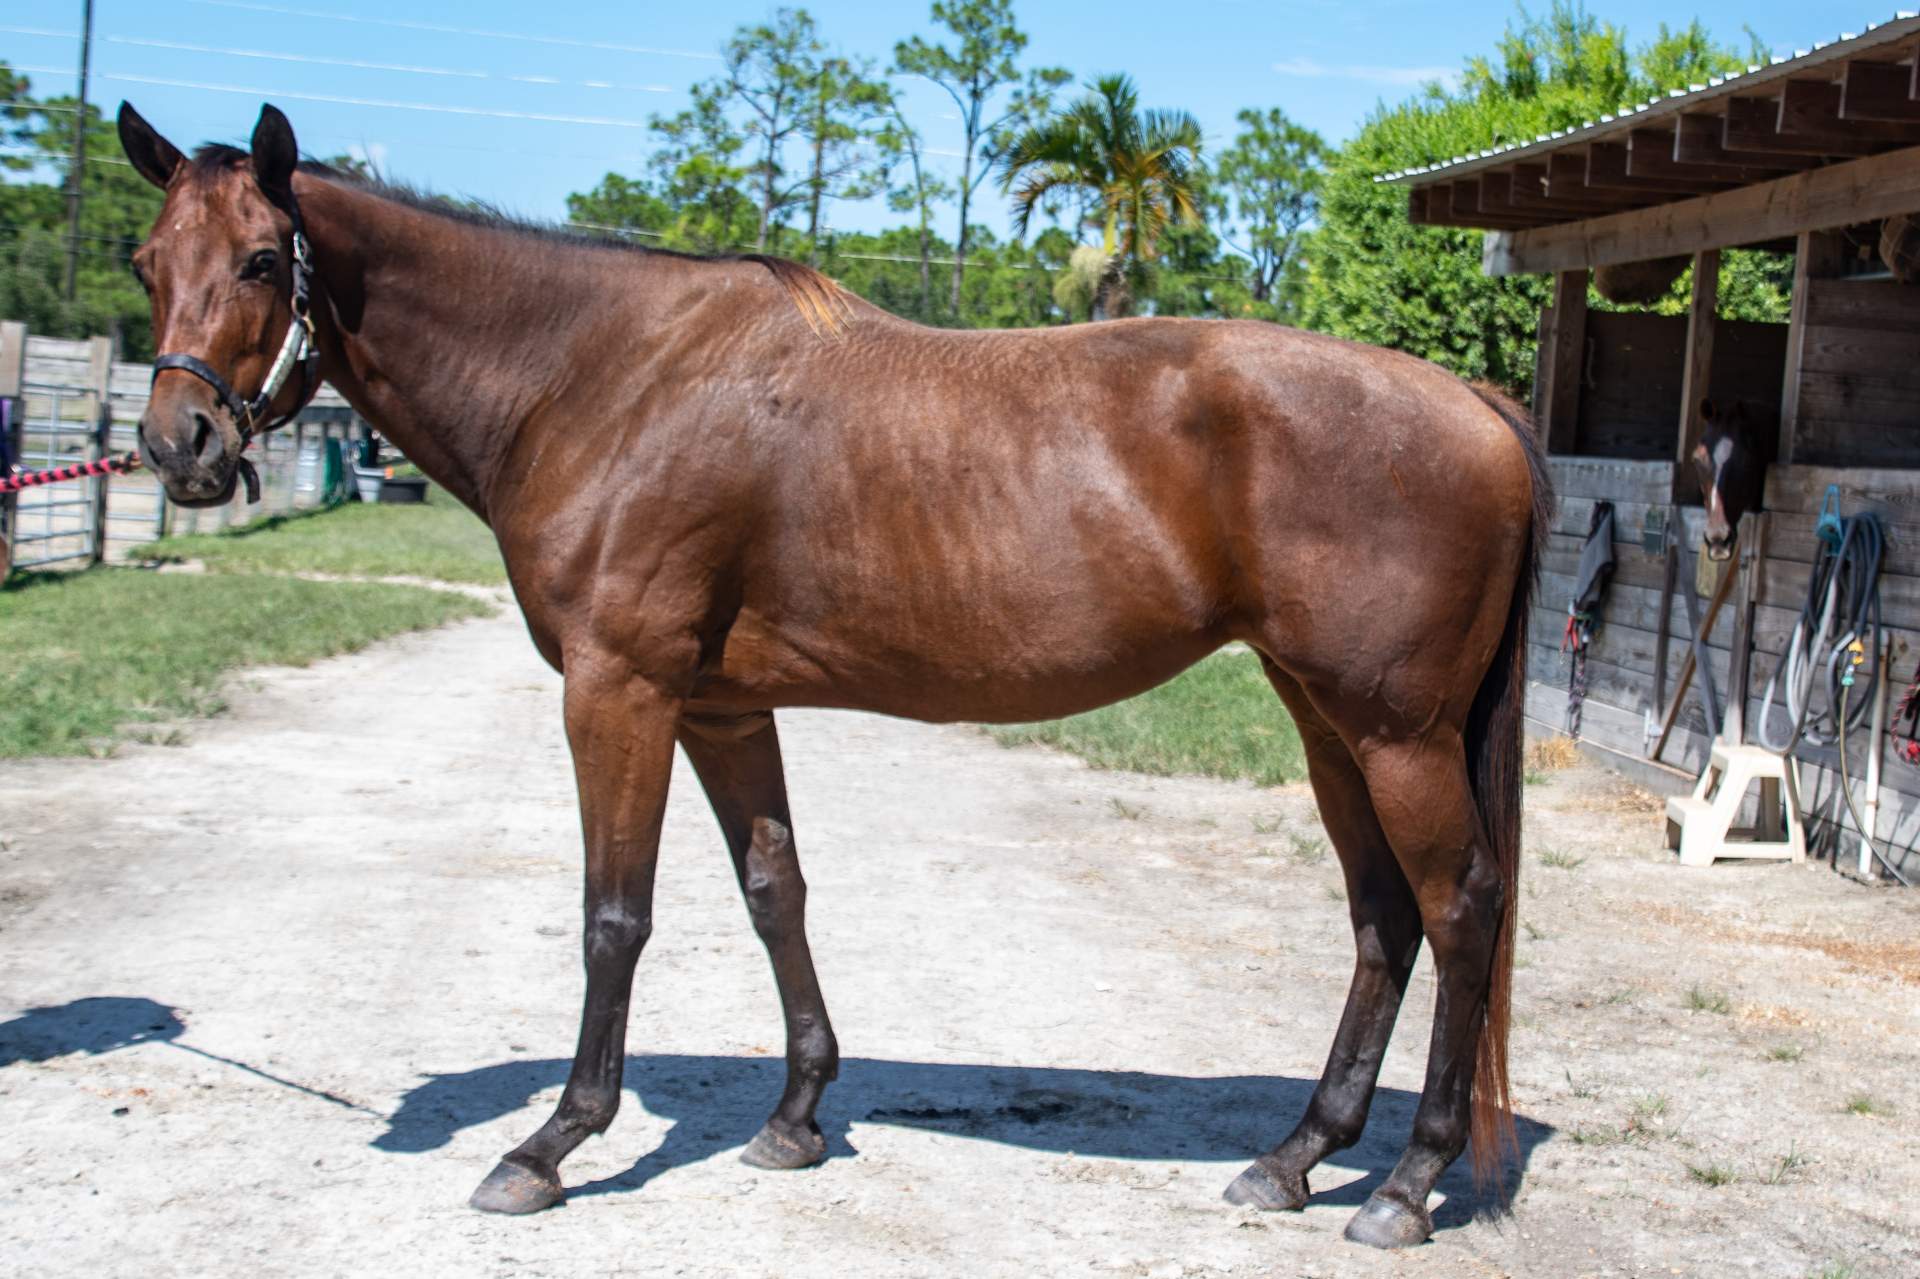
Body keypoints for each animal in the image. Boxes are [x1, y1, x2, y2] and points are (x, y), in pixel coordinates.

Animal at [116, 101, 1548, 1250]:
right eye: (147, 261)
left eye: (262, 259)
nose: (180, 446)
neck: (600, 376)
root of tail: (1477, 404)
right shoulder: (720, 706)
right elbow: (775, 892)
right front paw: (798, 1113)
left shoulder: (619, 692)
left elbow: (613, 916)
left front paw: (548, 1145)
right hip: (1327, 723)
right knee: (1384, 917)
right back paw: (1296, 1157)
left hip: (1397, 733)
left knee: (1461, 908)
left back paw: (1403, 1185)